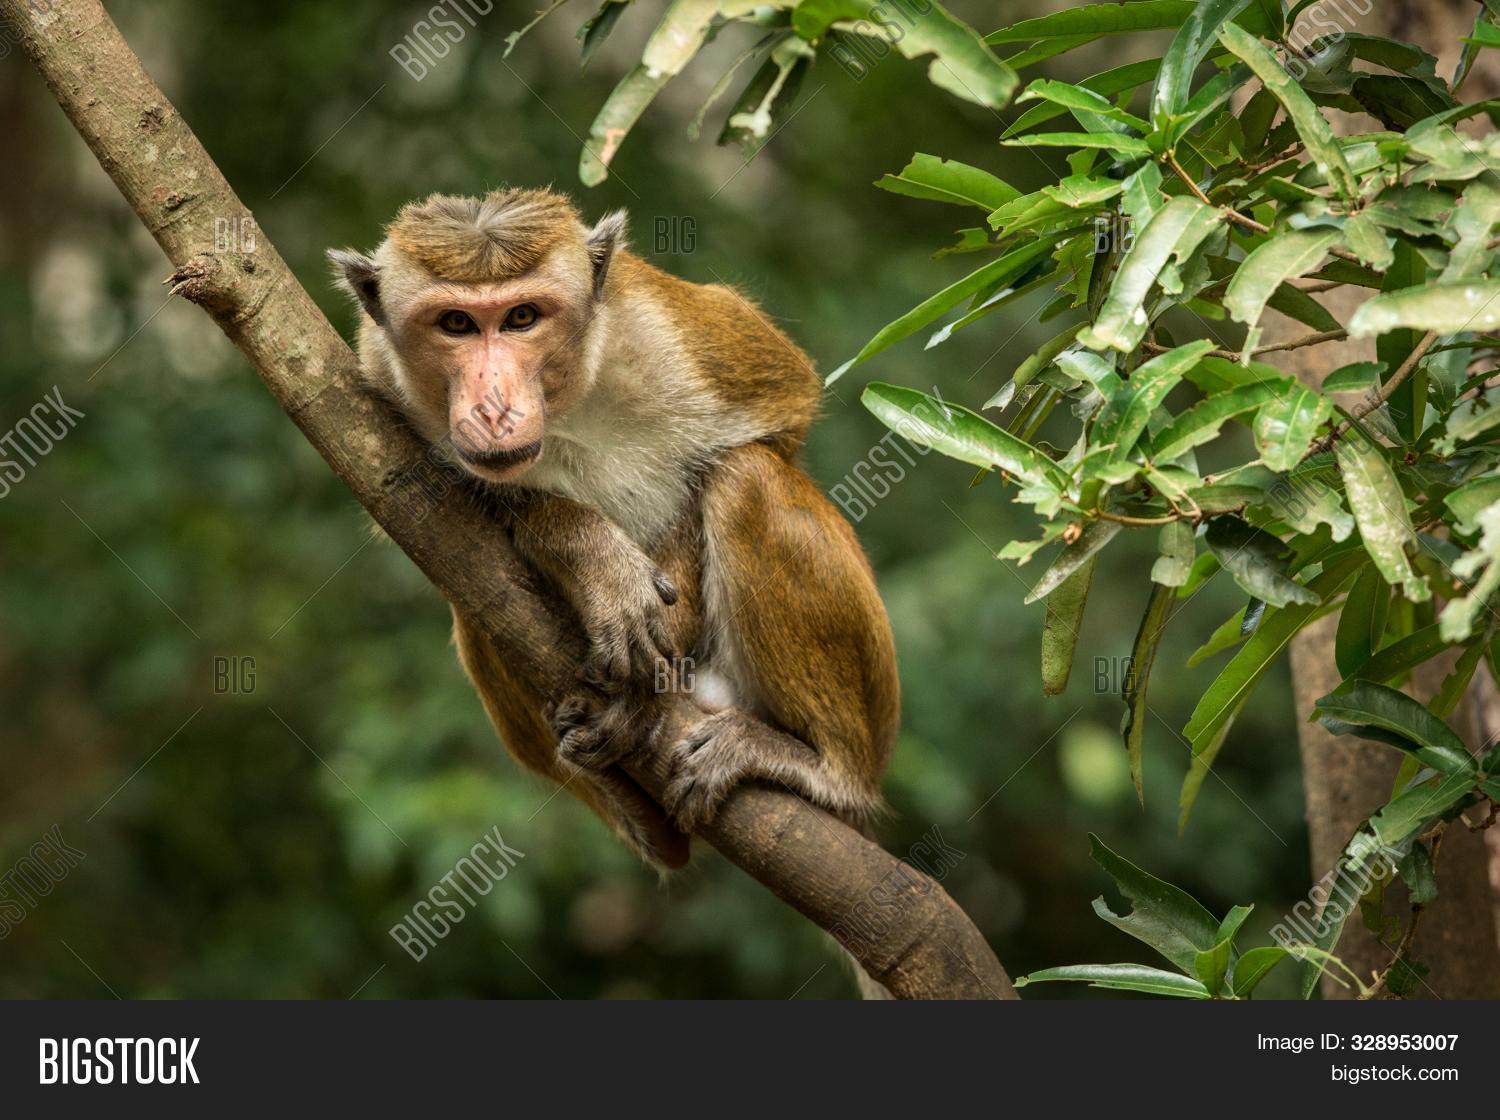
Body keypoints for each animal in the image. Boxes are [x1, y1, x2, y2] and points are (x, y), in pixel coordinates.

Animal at [330, 188, 899, 870]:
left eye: (522, 317)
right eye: (456, 324)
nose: (494, 407)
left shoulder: (668, 331)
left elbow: (783, 412)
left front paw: (656, 647)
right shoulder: (376, 370)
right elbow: (410, 493)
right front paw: (596, 560)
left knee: (749, 478)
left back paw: (829, 771)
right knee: (469, 595)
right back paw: (643, 816)